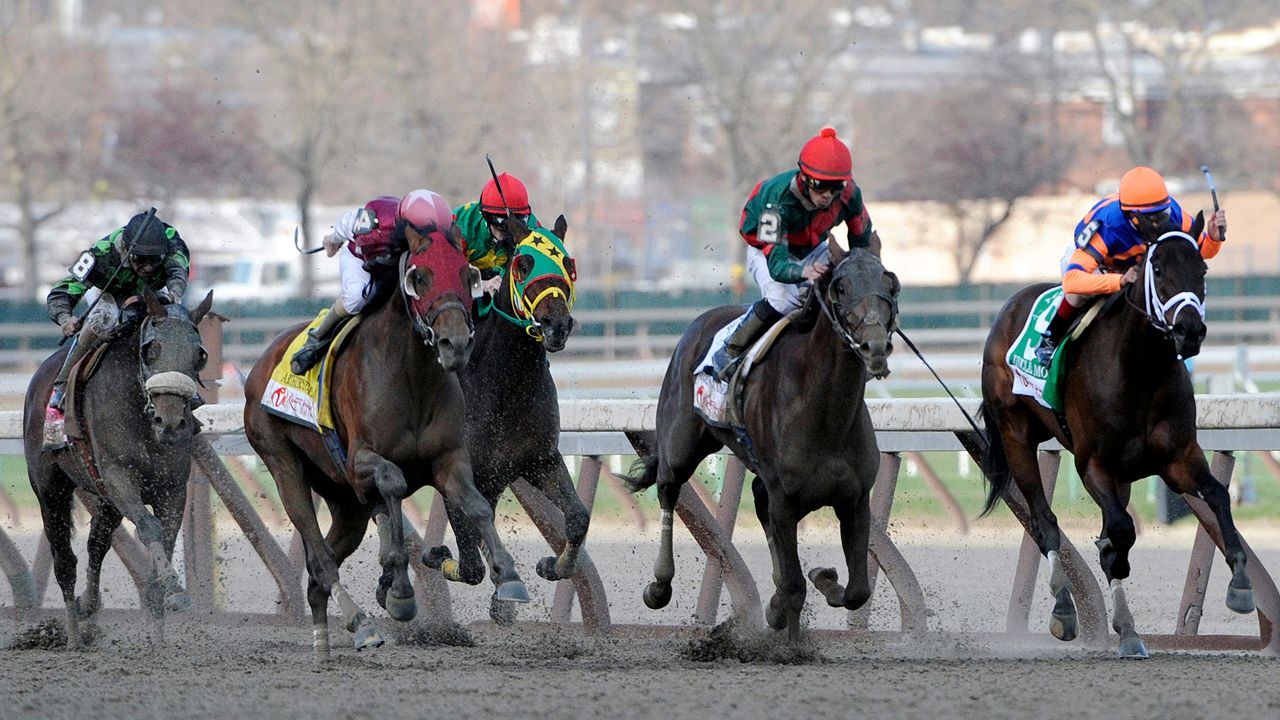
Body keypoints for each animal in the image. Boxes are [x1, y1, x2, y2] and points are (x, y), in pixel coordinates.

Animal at [23, 290, 215, 648]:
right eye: (150, 349)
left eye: (200, 354)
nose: (170, 422)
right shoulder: (120, 478)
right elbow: (150, 528)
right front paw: (175, 589)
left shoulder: (171, 489)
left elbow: (165, 538)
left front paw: (159, 632)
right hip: (50, 489)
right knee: (64, 561)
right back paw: (73, 636)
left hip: (105, 499)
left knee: (96, 543)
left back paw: (88, 606)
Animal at [243, 230, 528, 660]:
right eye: (419, 277)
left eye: (468, 274)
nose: (455, 343)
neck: (413, 374)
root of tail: (260, 365)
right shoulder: (360, 462)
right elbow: (392, 482)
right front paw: (400, 591)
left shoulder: (448, 458)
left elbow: (476, 503)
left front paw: (508, 575)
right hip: (282, 464)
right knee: (320, 560)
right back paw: (361, 623)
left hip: (346, 505)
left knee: (319, 573)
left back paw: (324, 644)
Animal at [440, 216, 588, 624]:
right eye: (523, 265)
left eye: (567, 264)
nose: (556, 325)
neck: (503, 385)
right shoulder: (453, 474)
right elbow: (469, 564)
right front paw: (438, 557)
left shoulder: (539, 461)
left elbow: (578, 517)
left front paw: (552, 567)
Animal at [624, 243, 899, 640]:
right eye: (841, 288)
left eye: (890, 284)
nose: (874, 346)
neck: (825, 411)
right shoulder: (785, 499)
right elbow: (796, 587)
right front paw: (791, 638)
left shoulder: (855, 499)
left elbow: (857, 590)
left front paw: (820, 579)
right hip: (681, 445)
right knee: (668, 488)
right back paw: (659, 585)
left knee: (756, 497)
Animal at [979, 213, 1254, 657]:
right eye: (1157, 270)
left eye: (1202, 270)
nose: (1190, 330)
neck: (1140, 371)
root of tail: (1010, 305)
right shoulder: (1093, 464)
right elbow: (1121, 530)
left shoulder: (1178, 458)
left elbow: (1216, 495)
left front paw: (1241, 584)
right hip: (1015, 434)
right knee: (1043, 521)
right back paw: (1064, 608)